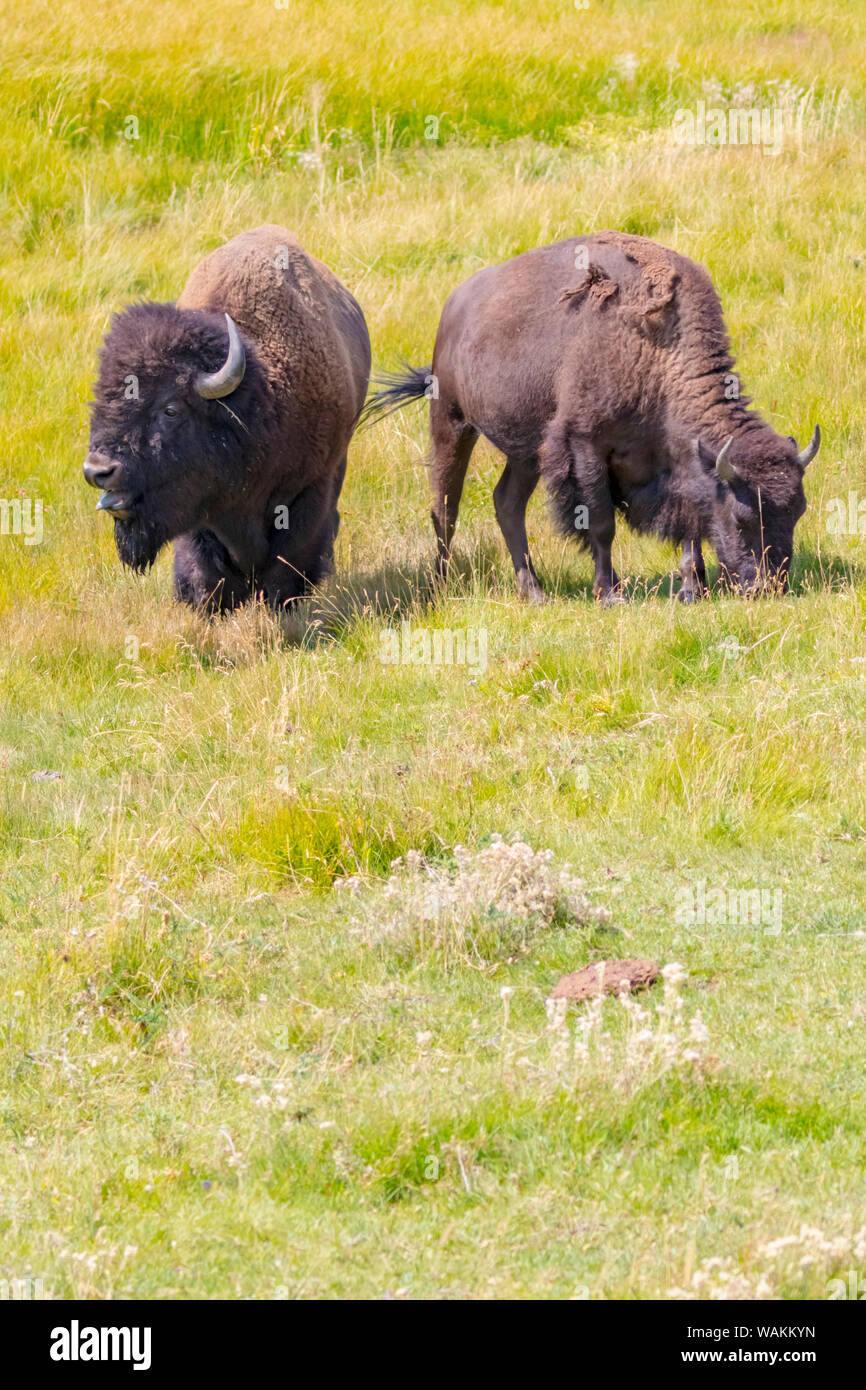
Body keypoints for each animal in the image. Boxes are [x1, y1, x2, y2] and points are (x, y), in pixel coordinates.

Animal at [84, 225, 371, 610]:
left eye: (171, 409)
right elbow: (205, 570)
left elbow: (288, 562)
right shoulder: (199, 513)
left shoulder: (312, 488)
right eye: (100, 399)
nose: (97, 470)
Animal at [364, 231, 819, 602]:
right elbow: (601, 523)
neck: (654, 352)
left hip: (528, 452)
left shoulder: (676, 462)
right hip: (452, 423)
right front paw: (611, 594)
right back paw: (442, 585)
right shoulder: (586, 446)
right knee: (445, 506)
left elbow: (689, 521)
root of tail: (455, 307)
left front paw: (693, 589)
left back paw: (534, 592)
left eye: (798, 511)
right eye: (743, 518)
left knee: (506, 503)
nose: (769, 587)